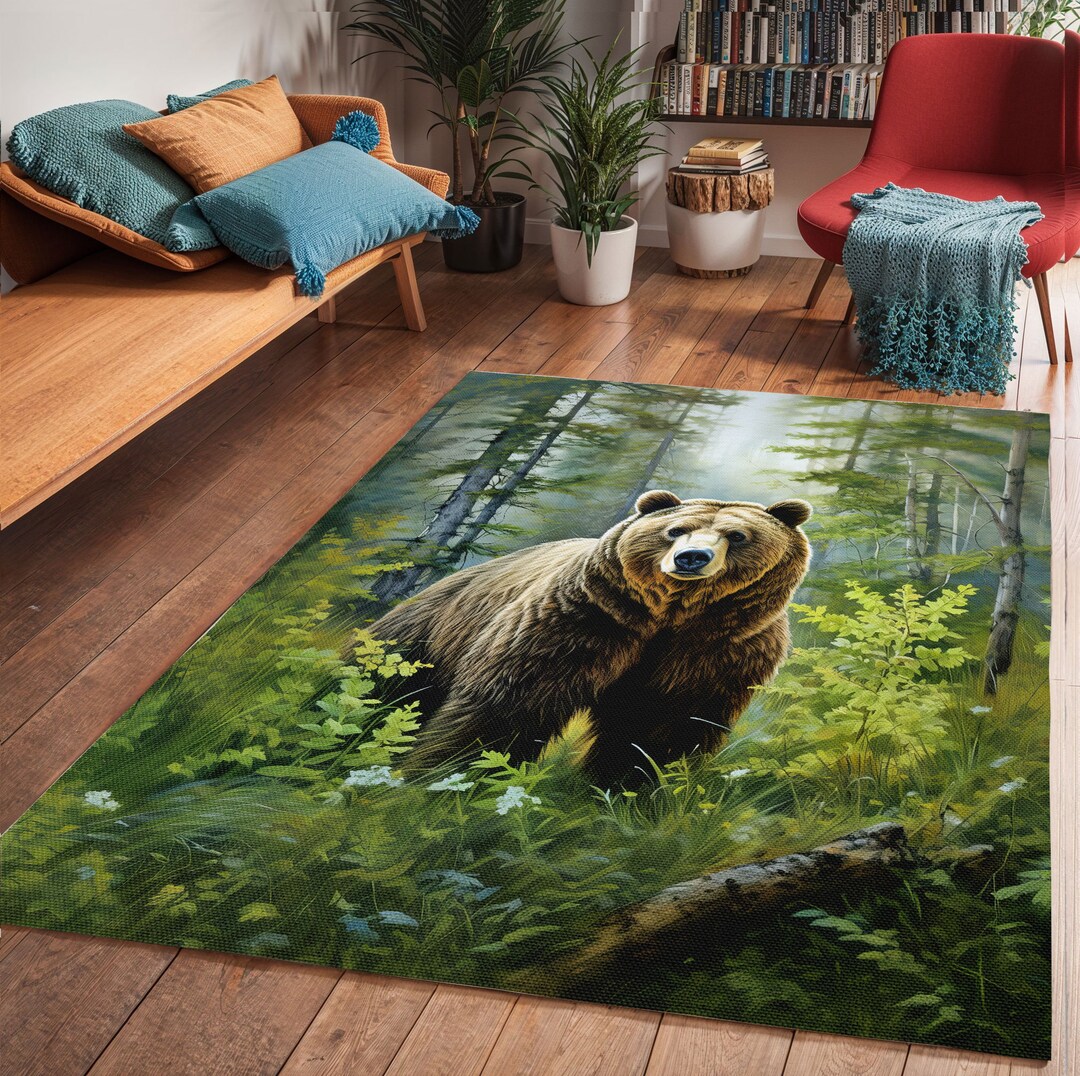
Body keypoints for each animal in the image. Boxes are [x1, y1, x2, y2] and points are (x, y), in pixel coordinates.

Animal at [369, 490, 812, 785]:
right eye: (675, 530)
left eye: (737, 535)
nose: (691, 558)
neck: (670, 616)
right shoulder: (586, 618)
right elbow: (510, 698)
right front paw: (442, 776)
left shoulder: (718, 650)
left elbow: (662, 724)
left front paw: (624, 790)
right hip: (426, 633)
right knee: (386, 682)